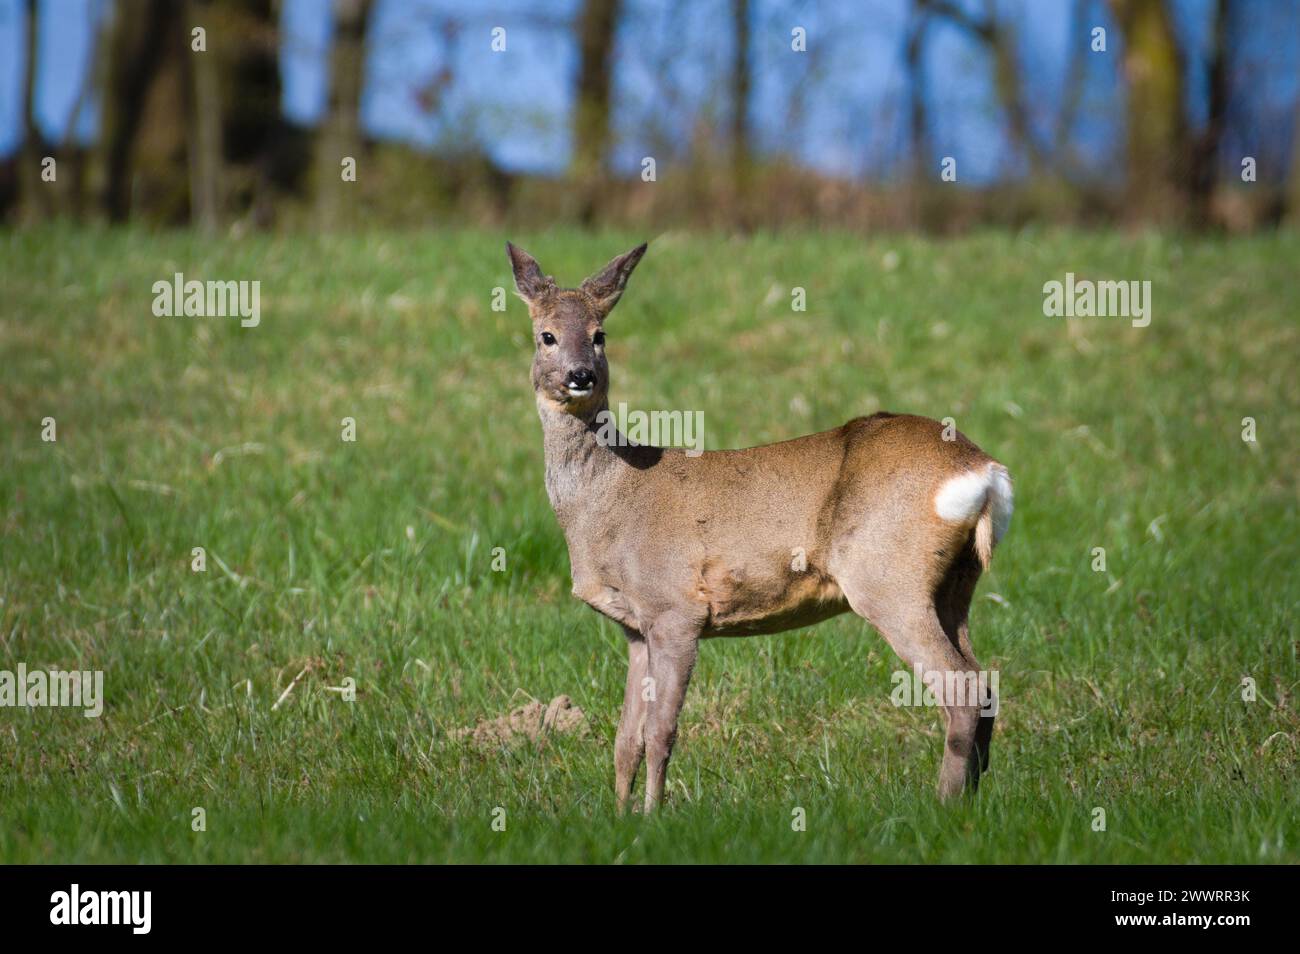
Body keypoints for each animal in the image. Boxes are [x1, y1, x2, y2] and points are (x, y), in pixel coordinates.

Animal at [507, 241, 1013, 813]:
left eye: (600, 334)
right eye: (546, 335)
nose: (580, 375)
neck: (610, 501)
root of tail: (985, 470)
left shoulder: (676, 608)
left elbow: (660, 732)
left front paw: (654, 816)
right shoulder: (636, 627)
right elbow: (624, 739)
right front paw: (618, 817)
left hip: (888, 577)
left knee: (961, 689)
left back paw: (944, 805)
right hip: (956, 584)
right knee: (984, 681)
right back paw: (974, 798)